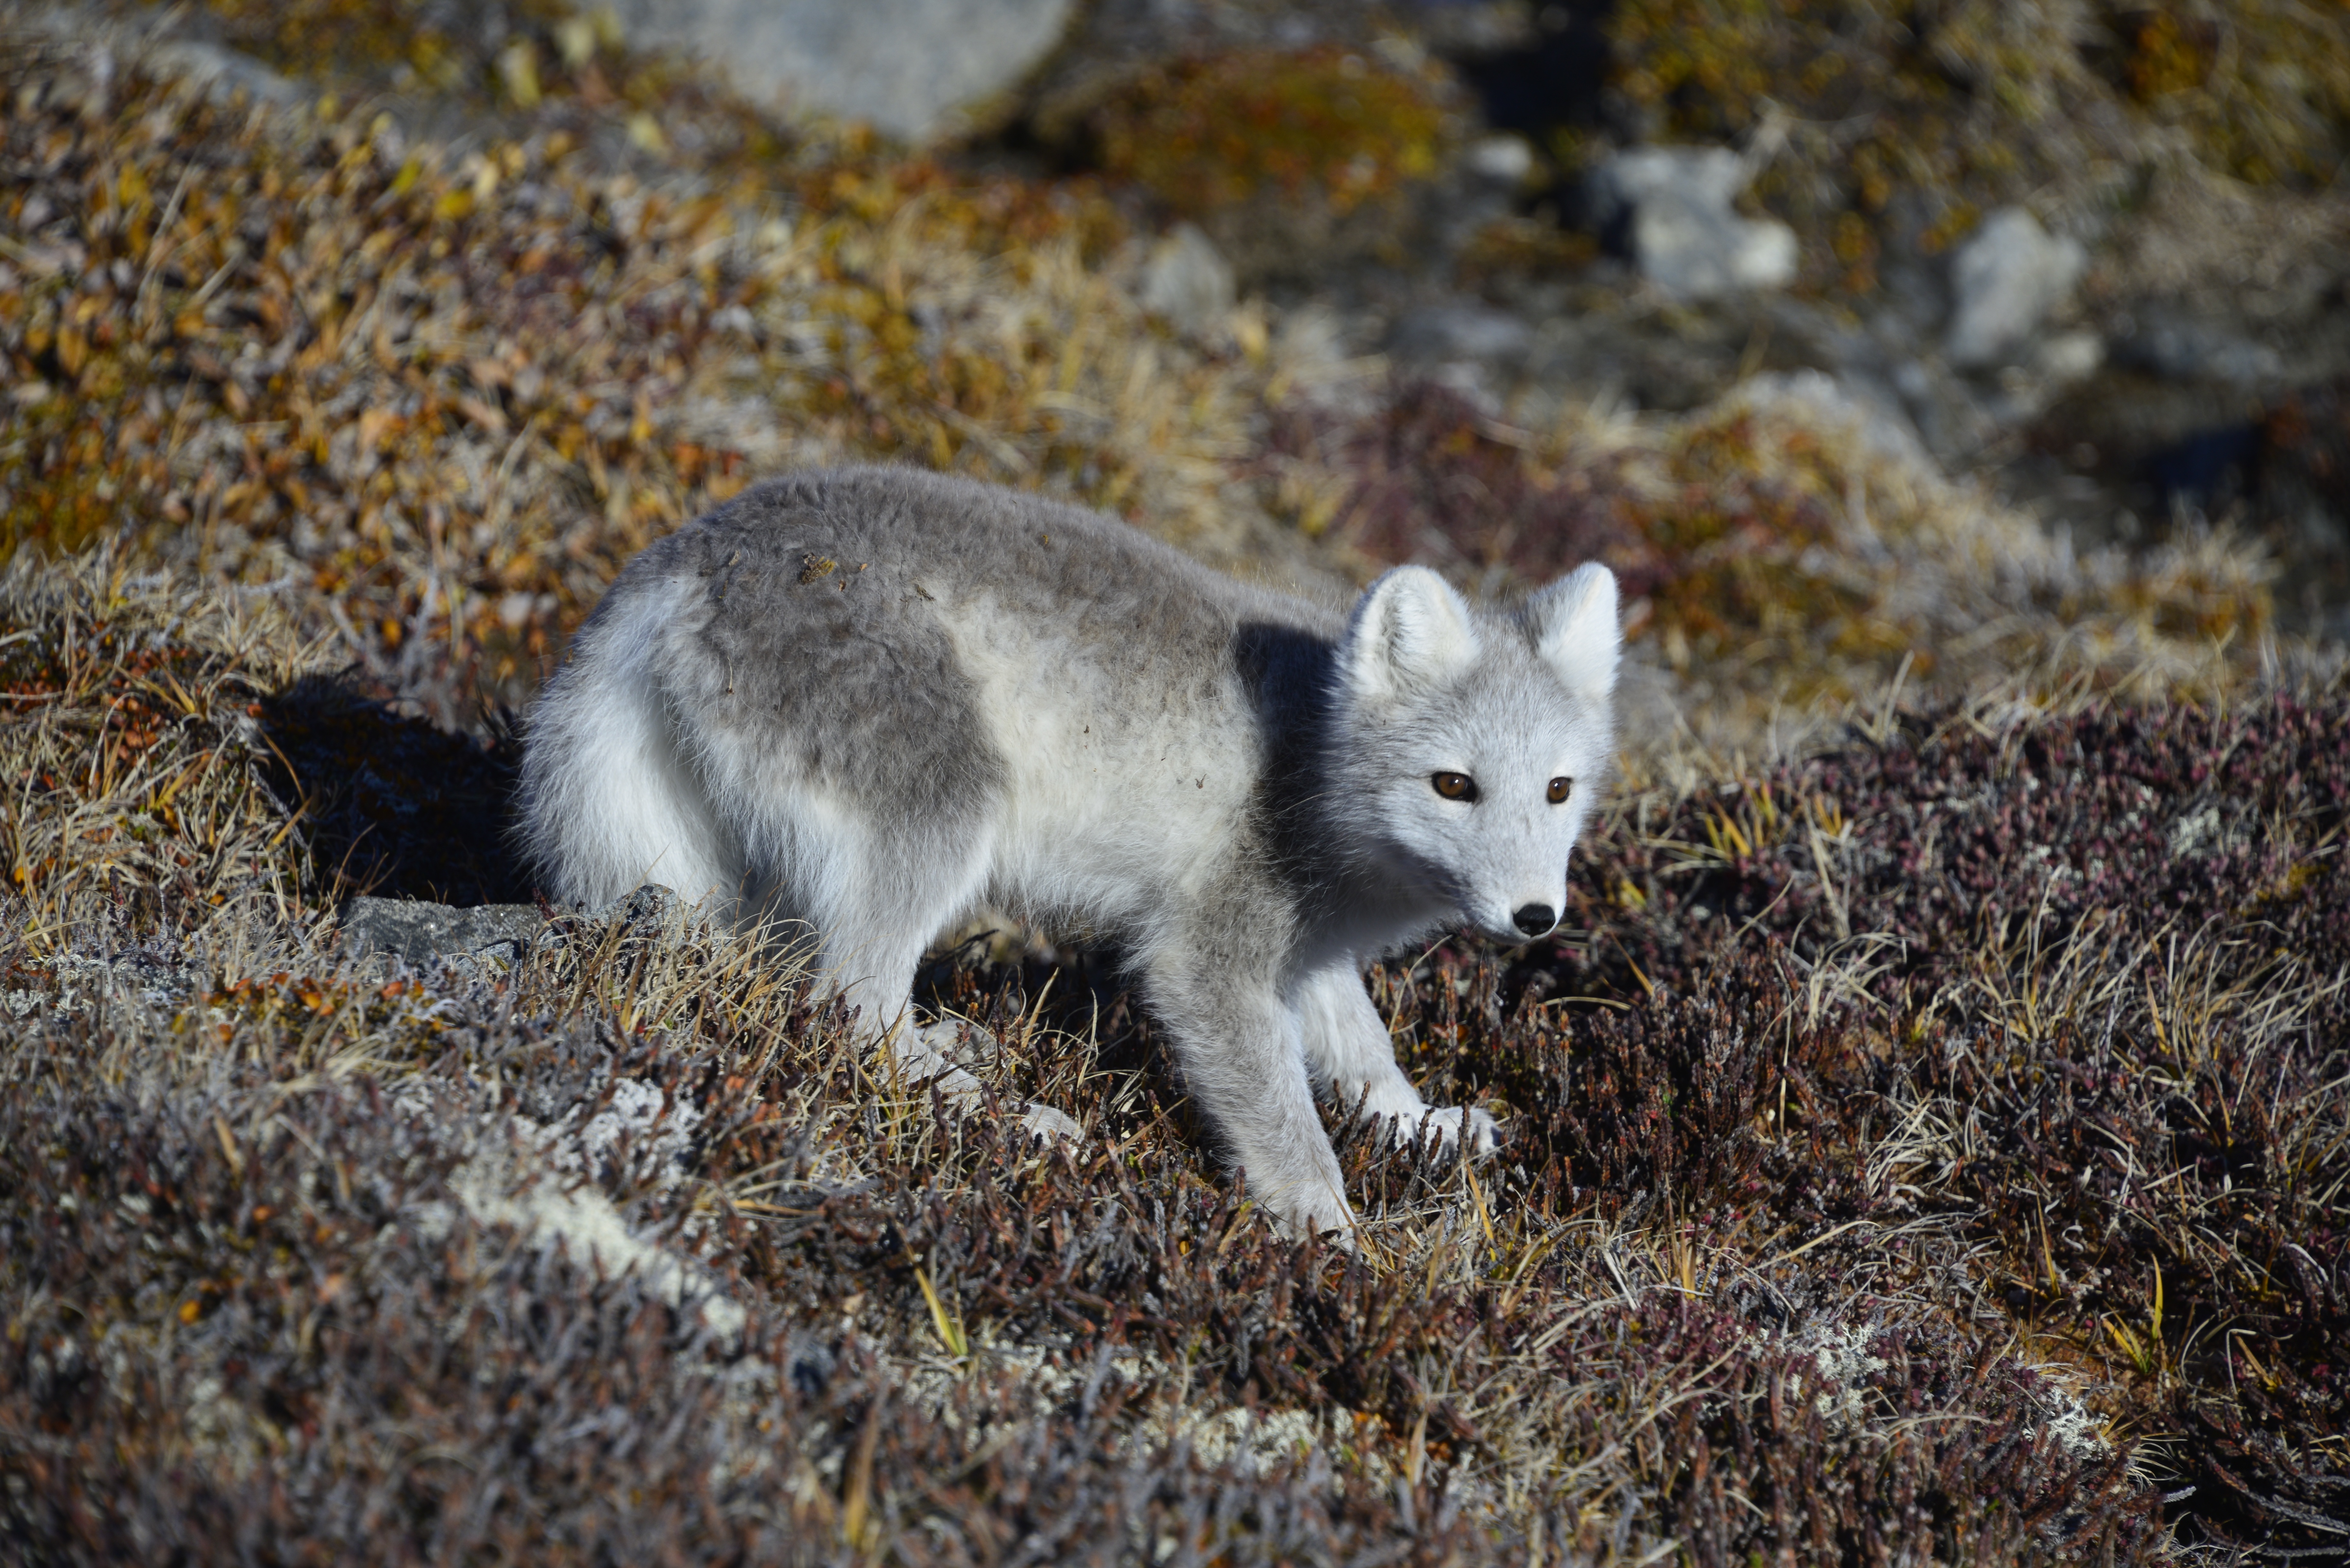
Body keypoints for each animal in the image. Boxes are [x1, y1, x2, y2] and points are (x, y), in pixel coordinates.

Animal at [518, 466, 1621, 1240]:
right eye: (1453, 785)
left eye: (1559, 790)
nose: (1535, 917)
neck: (1313, 753)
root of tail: (676, 562)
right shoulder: (1208, 951)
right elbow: (1280, 1107)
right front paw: (1331, 1233)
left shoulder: (1306, 950)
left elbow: (1363, 1051)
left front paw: (1423, 1124)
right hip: (940, 805)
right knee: (846, 1003)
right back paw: (1010, 1116)